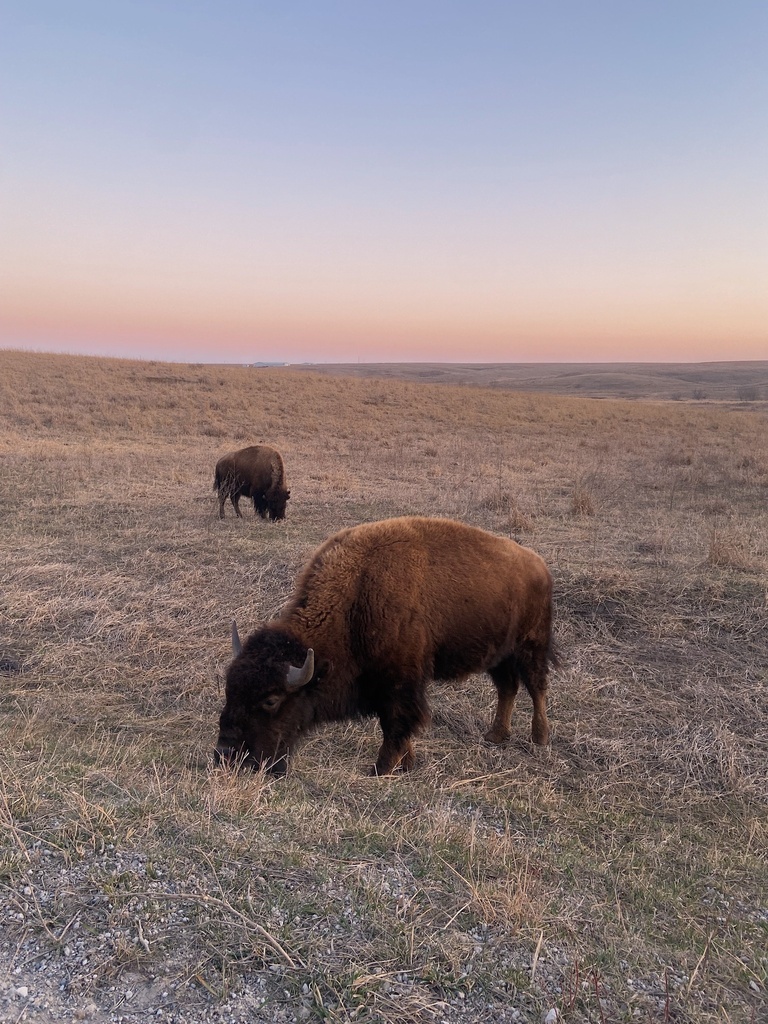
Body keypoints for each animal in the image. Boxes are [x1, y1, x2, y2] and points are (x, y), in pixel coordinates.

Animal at [215, 516, 557, 776]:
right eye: (230, 689)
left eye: (271, 700)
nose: (226, 753)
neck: (356, 596)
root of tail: (539, 565)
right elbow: (398, 725)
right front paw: (406, 764)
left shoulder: (400, 682)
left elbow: (396, 724)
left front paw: (381, 769)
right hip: (499, 655)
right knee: (508, 688)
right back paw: (495, 736)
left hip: (531, 646)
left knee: (536, 687)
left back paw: (540, 738)